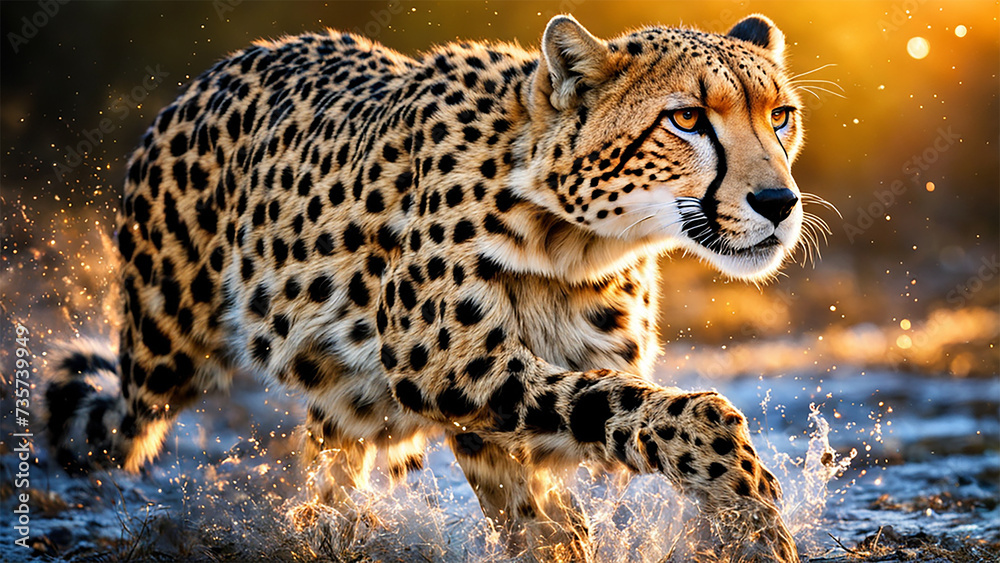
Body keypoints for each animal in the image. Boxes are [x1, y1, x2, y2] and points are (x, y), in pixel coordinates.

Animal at [45, 13, 808, 562]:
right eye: (687, 118)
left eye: (780, 116)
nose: (778, 202)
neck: (579, 241)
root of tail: (220, 69)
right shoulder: (448, 367)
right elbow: (685, 414)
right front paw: (753, 513)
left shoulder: (506, 395)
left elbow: (559, 490)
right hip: (165, 357)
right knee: (122, 422)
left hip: (348, 396)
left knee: (331, 468)